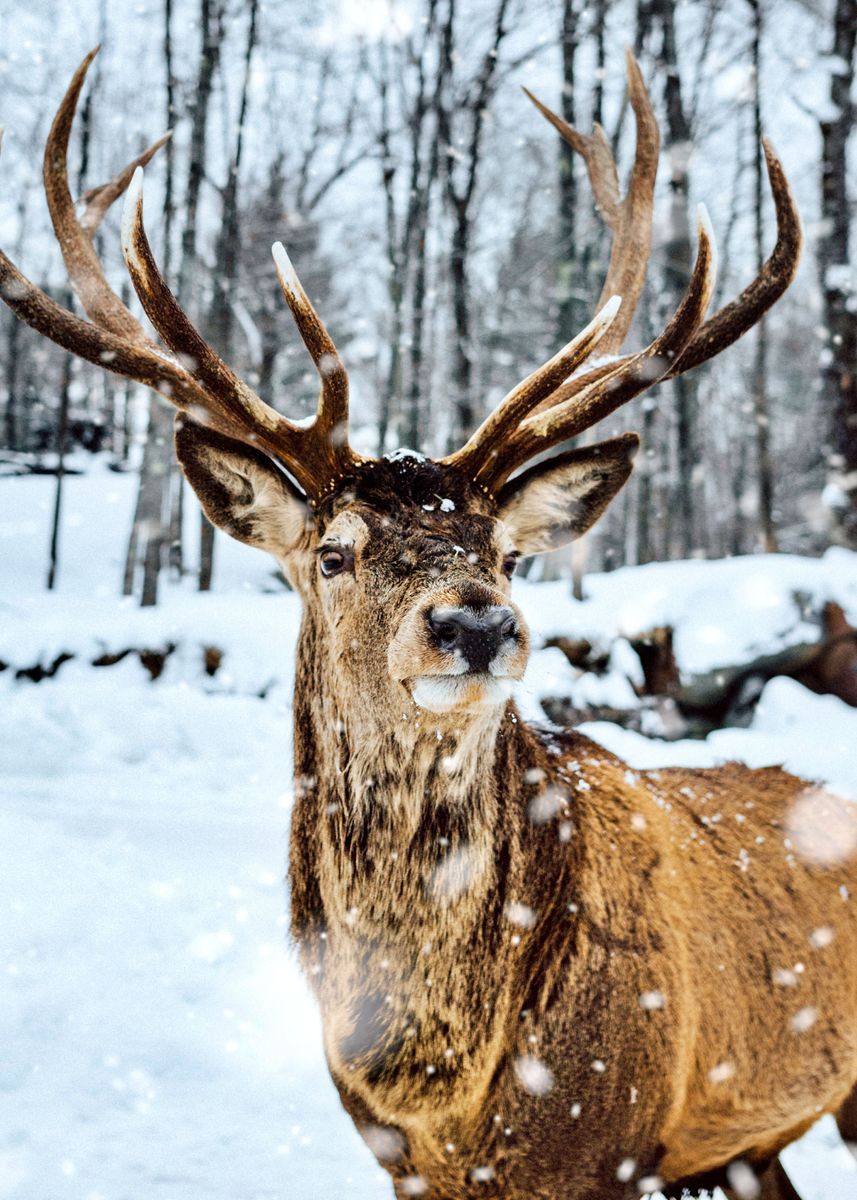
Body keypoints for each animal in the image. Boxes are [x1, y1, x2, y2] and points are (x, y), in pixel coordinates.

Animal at [2, 46, 856, 1200]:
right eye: (332, 552)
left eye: (505, 551)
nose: (478, 623)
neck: (443, 1088)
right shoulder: (398, 1161)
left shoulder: (616, 1143)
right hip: (746, 1146)